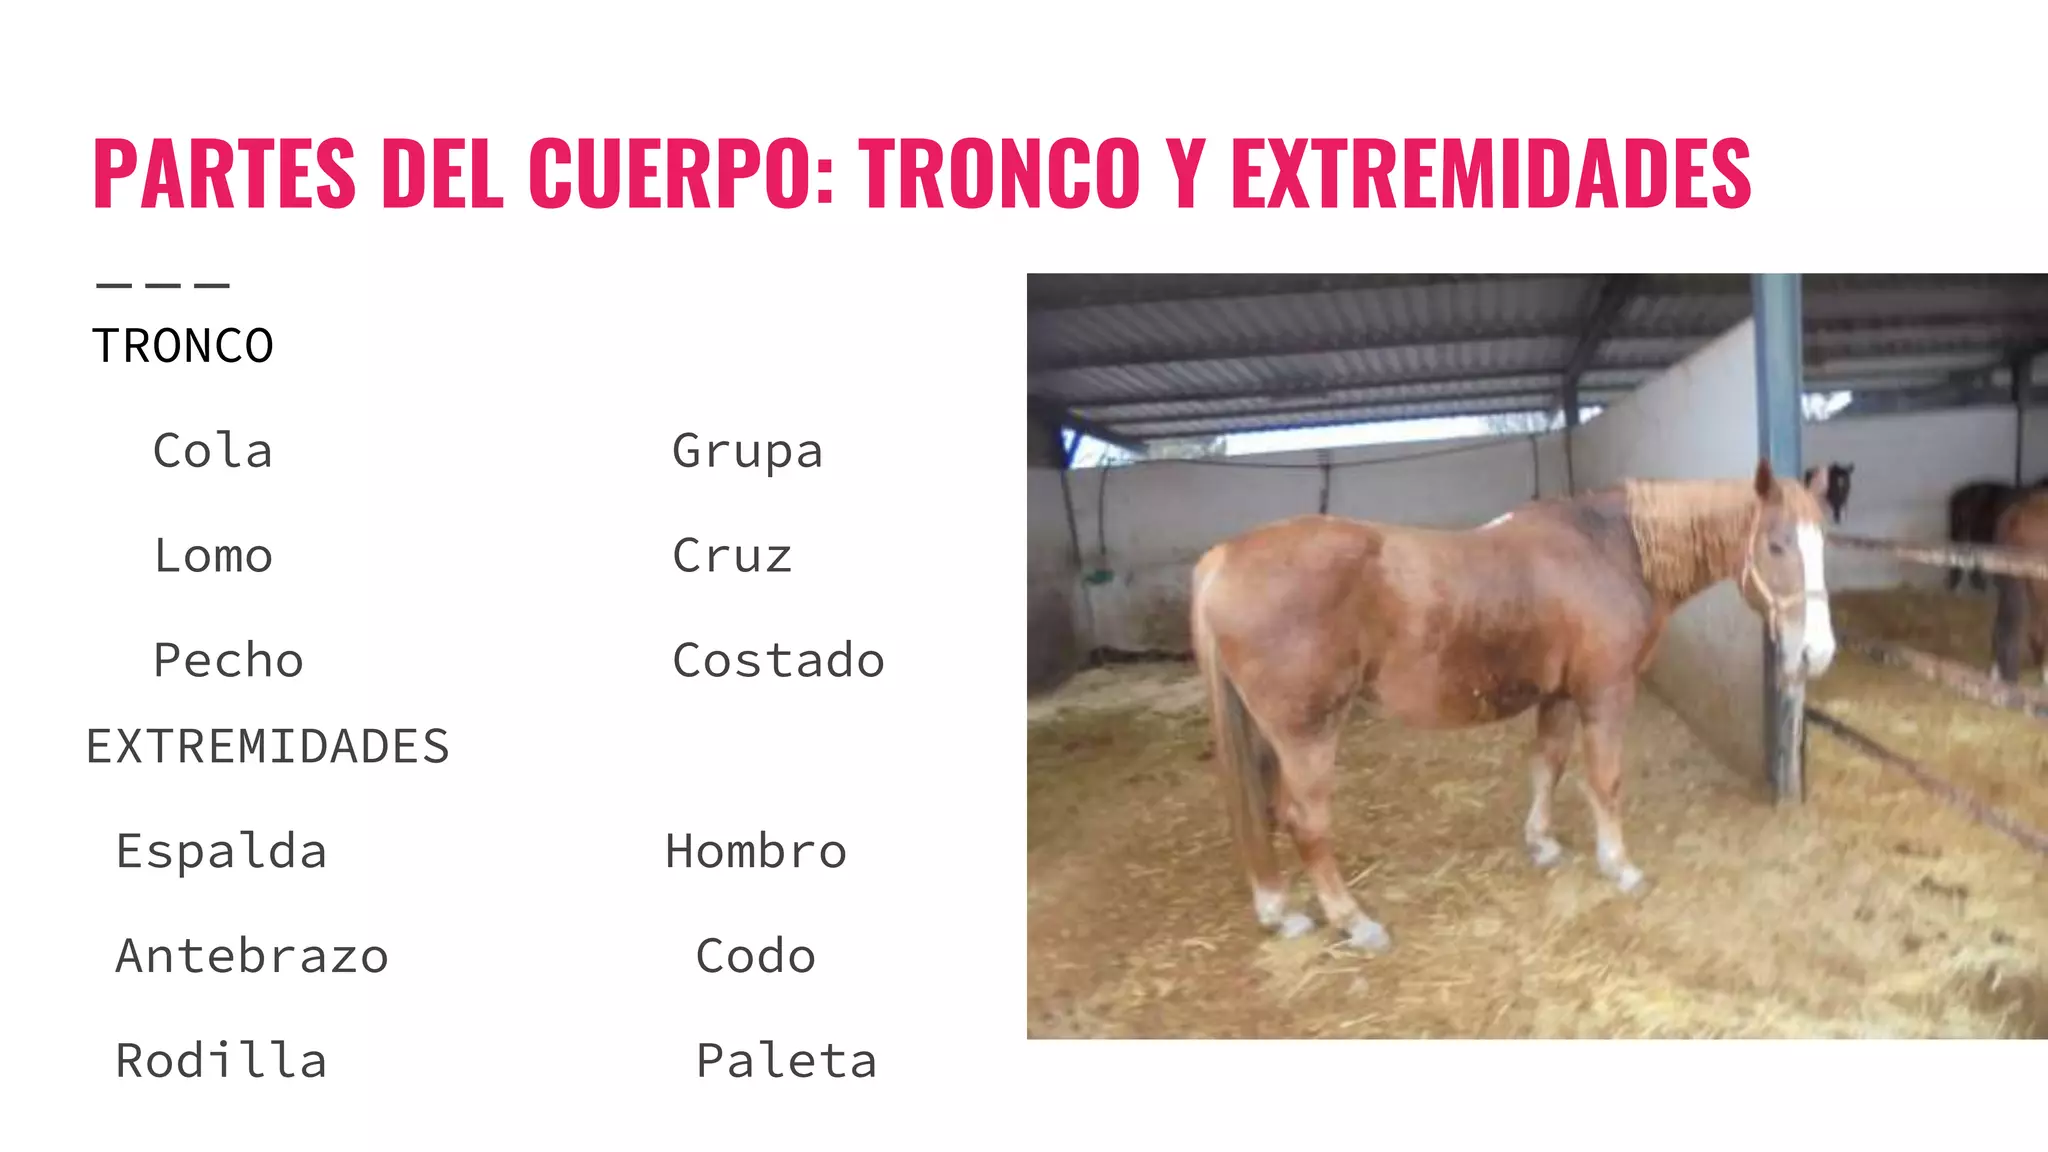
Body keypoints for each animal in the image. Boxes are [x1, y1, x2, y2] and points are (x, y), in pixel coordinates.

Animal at [1190, 460, 1835, 952]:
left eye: (1822, 544)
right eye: (1776, 544)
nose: (1817, 652)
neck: (1608, 551)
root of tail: (1223, 559)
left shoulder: (1559, 696)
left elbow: (1547, 764)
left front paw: (1542, 844)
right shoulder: (1605, 693)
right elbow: (1604, 780)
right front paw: (1618, 865)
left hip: (1272, 738)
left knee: (1270, 810)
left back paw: (1280, 911)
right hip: (1307, 735)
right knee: (1306, 821)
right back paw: (1353, 921)